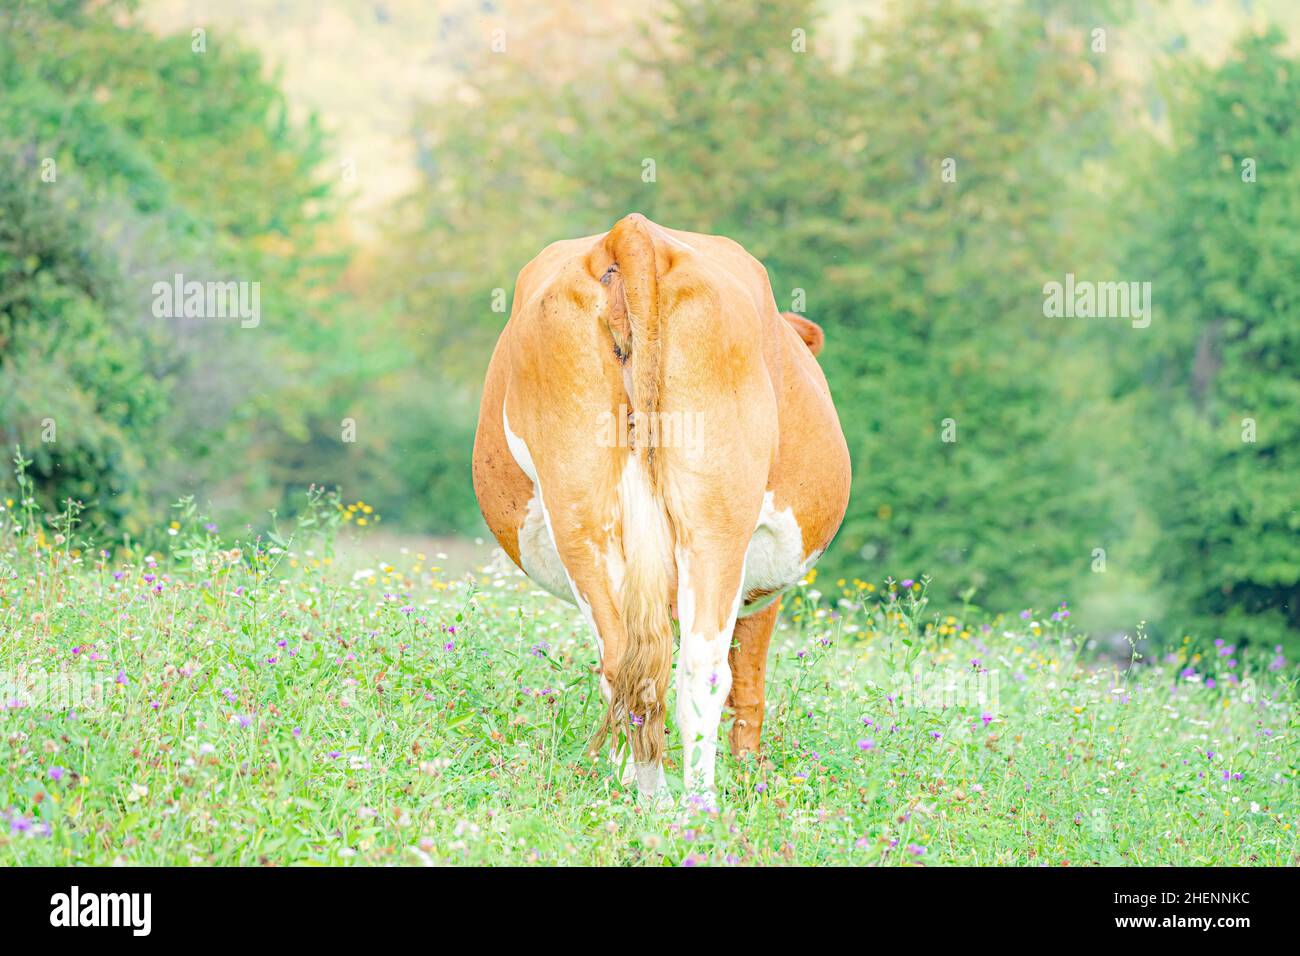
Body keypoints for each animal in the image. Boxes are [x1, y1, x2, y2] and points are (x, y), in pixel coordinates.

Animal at [472, 213, 850, 804]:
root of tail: (631, 232)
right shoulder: (762, 590)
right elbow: (750, 686)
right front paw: (752, 775)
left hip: (579, 513)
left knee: (625, 666)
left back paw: (645, 794)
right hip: (716, 524)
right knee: (702, 671)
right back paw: (698, 806)